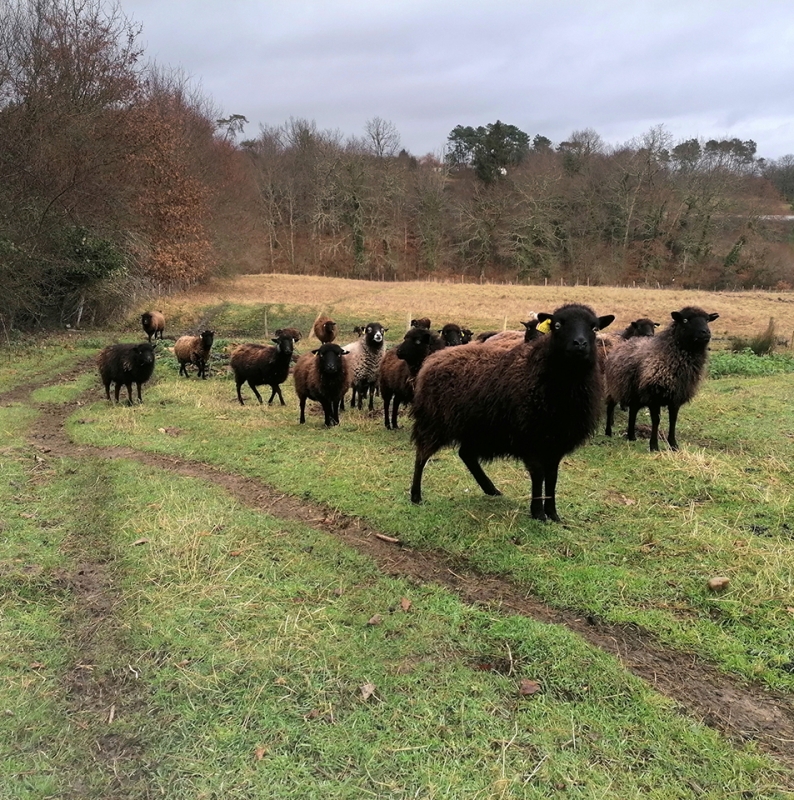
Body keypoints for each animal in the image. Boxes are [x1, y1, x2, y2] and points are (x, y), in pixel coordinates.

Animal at [410, 303, 615, 521]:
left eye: (594, 328)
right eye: (557, 325)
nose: (580, 344)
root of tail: (432, 359)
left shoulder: (556, 442)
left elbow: (552, 477)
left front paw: (553, 514)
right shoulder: (529, 436)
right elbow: (538, 474)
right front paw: (538, 513)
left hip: (475, 428)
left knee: (466, 454)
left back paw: (491, 489)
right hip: (434, 421)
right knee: (421, 456)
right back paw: (416, 495)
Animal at [604, 306, 719, 452]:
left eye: (707, 320)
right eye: (685, 320)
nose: (706, 333)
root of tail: (624, 343)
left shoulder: (676, 397)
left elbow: (673, 420)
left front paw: (674, 445)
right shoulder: (654, 396)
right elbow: (656, 420)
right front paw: (654, 446)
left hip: (635, 392)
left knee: (633, 411)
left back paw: (631, 436)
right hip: (614, 386)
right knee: (610, 408)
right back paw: (608, 432)